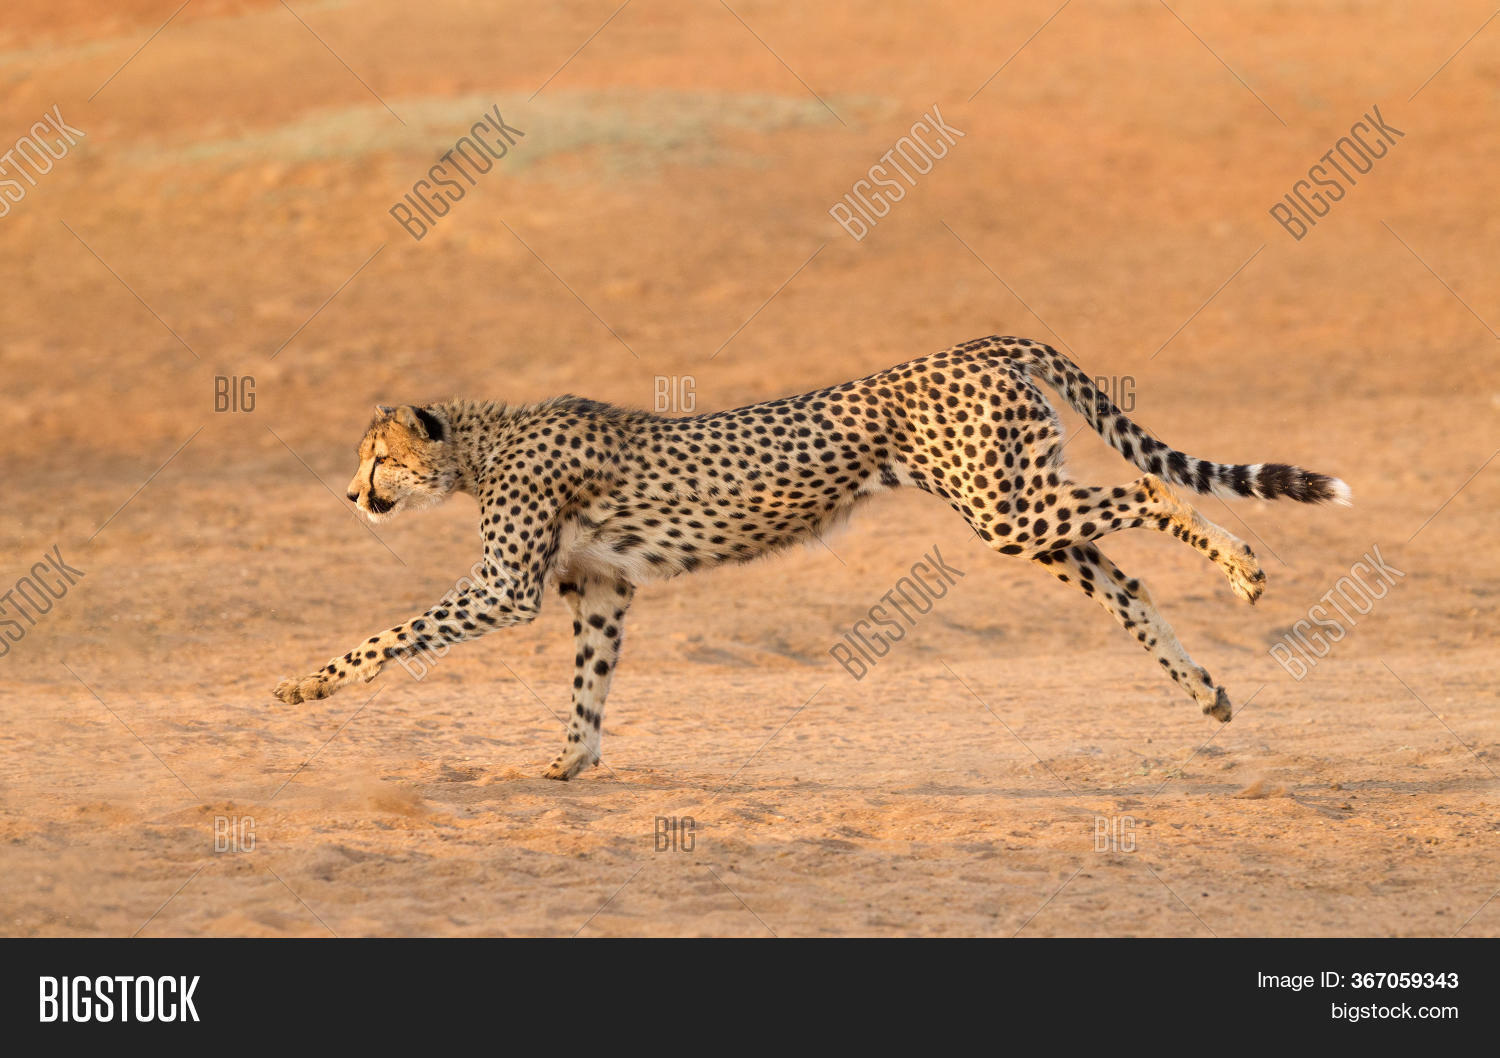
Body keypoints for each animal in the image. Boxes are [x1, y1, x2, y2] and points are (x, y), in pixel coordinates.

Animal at [272, 336, 1349, 780]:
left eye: (377, 458)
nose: (353, 495)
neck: (479, 445)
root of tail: (980, 343)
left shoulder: (507, 586)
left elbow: (394, 635)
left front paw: (303, 685)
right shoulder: (604, 587)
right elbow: (590, 681)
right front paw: (573, 759)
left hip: (1007, 508)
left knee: (1158, 493)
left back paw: (1245, 568)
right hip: (1022, 510)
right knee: (1123, 577)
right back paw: (1206, 688)